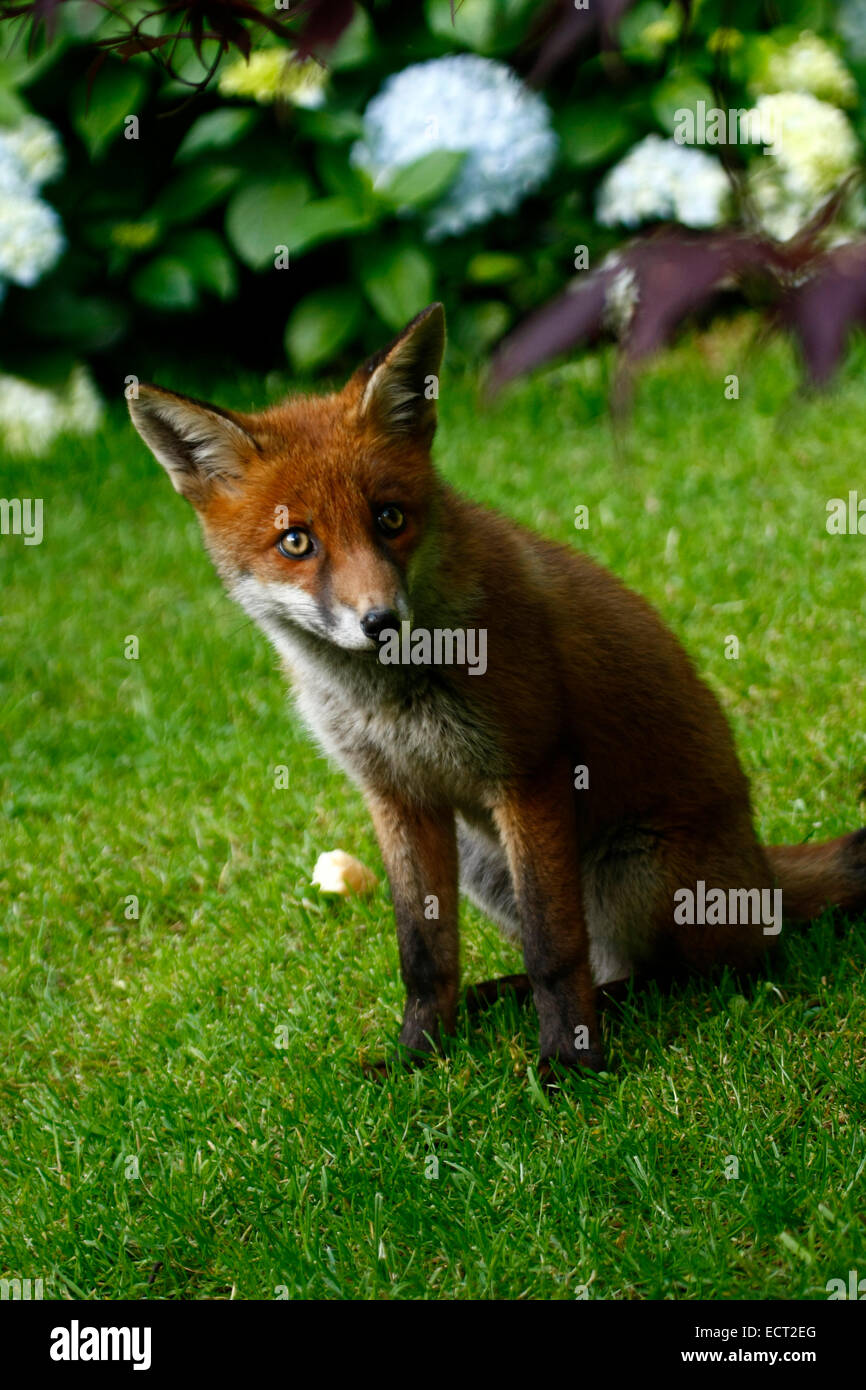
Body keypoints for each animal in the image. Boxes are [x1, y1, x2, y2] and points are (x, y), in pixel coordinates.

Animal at [129, 301, 866, 1081]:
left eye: (389, 518)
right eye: (296, 542)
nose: (382, 622)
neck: (388, 699)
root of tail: (761, 867)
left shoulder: (529, 774)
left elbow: (554, 950)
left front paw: (571, 1065)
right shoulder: (398, 797)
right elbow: (424, 957)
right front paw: (418, 1056)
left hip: (629, 871)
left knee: (695, 970)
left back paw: (611, 1008)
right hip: (487, 863)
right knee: (616, 964)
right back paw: (503, 998)